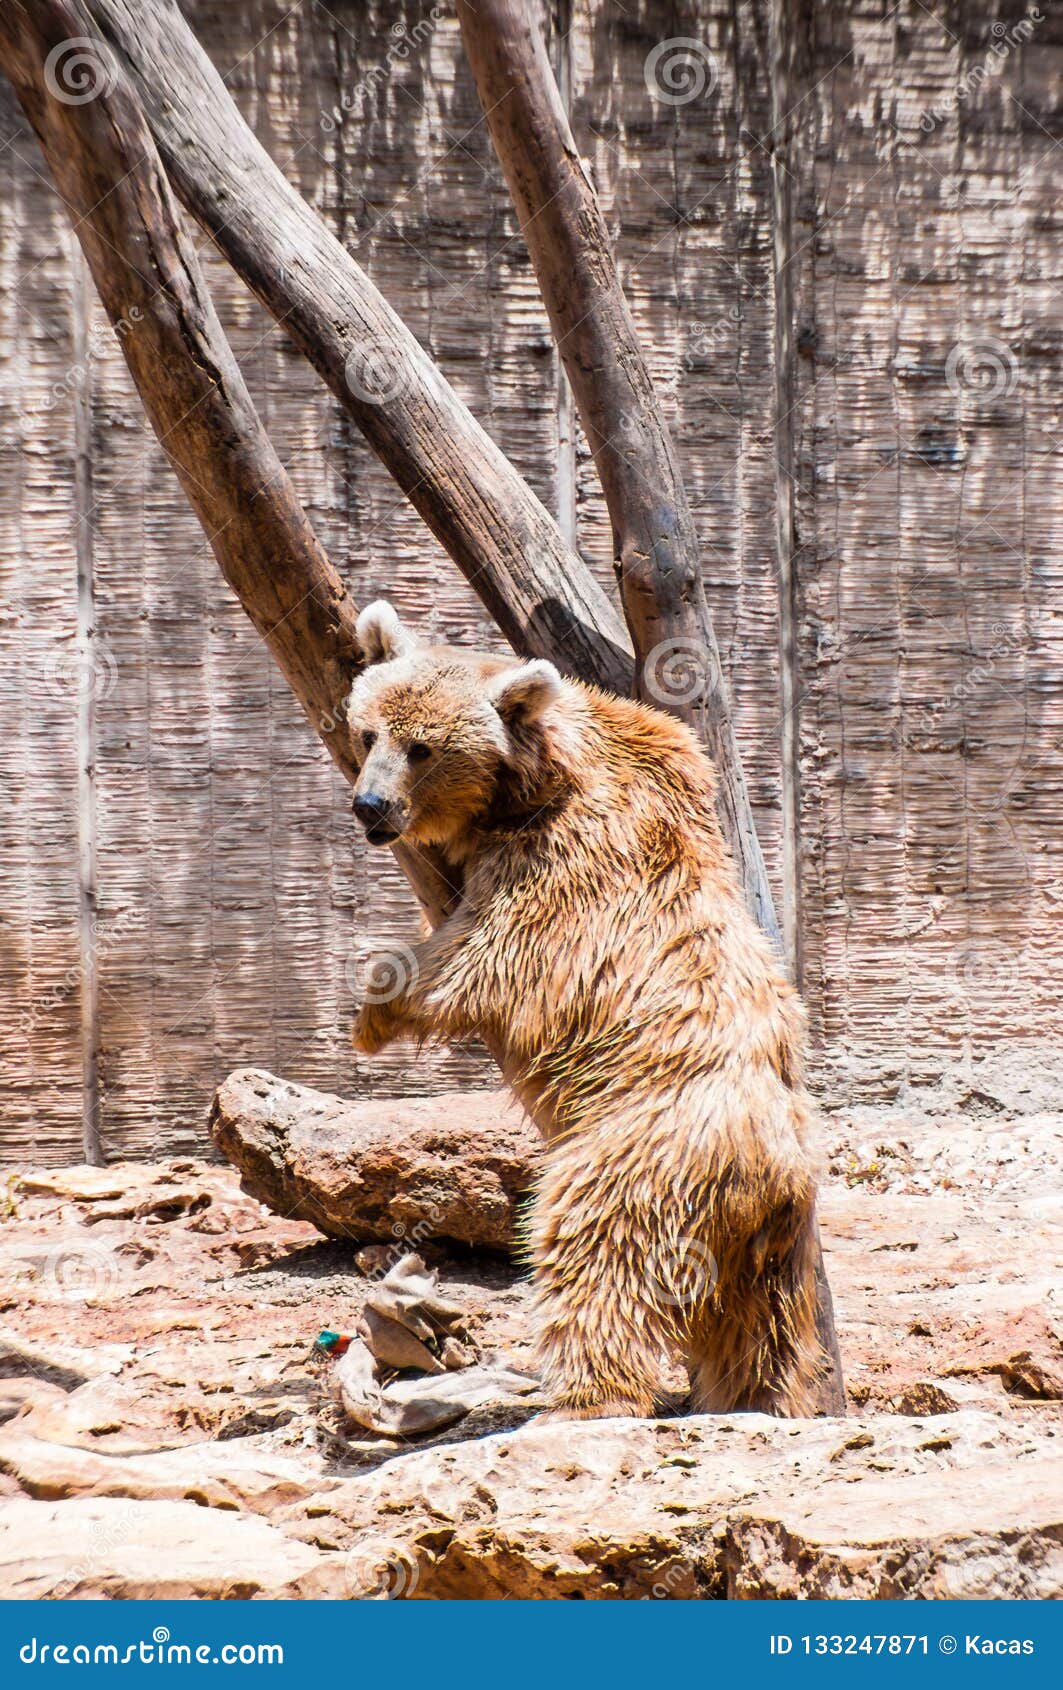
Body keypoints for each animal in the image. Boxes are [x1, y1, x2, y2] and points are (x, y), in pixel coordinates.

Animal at [345, 599, 824, 1420]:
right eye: (369, 731)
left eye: (422, 748)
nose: (371, 806)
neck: (533, 780)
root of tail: (773, 1174)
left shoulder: (563, 867)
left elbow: (477, 958)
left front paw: (373, 1012)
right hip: (772, 1251)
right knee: (759, 1333)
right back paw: (756, 1397)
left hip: (641, 1158)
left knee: (595, 1259)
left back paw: (581, 1398)